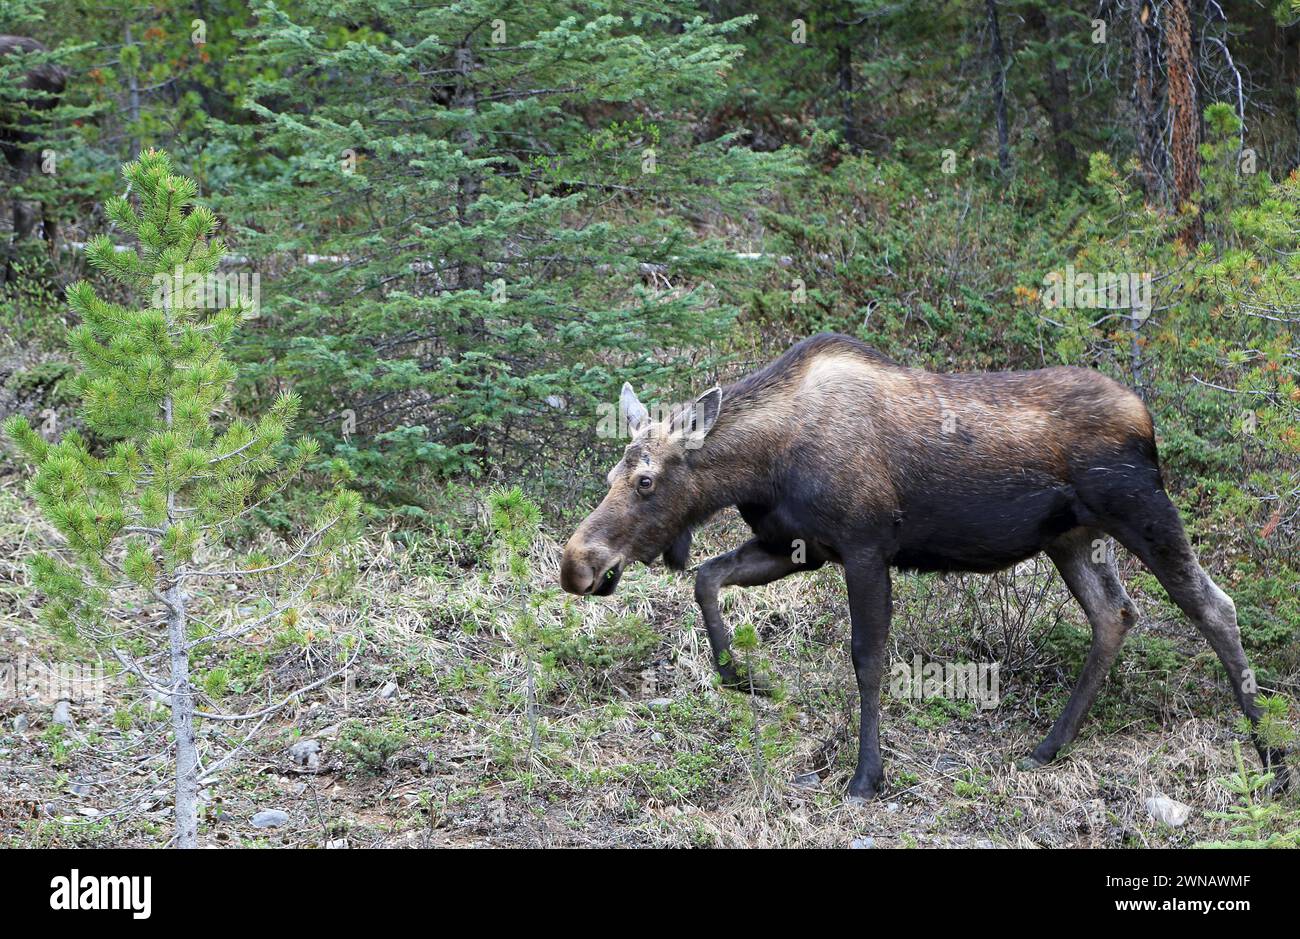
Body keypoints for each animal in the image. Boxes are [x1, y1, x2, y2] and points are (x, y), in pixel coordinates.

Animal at [560, 333, 1285, 801]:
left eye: (647, 481)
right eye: (611, 476)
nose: (577, 563)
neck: (762, 466)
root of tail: (1148, 416)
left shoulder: (863, 546)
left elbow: (868, 657)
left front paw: (866, 776)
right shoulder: (797, 546)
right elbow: (706, 576)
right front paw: (742, 677)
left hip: (1142, 509)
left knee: (1214, 605)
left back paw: (1271, 757)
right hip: (1072, 538)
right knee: (1116, 614)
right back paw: (1049, 746)